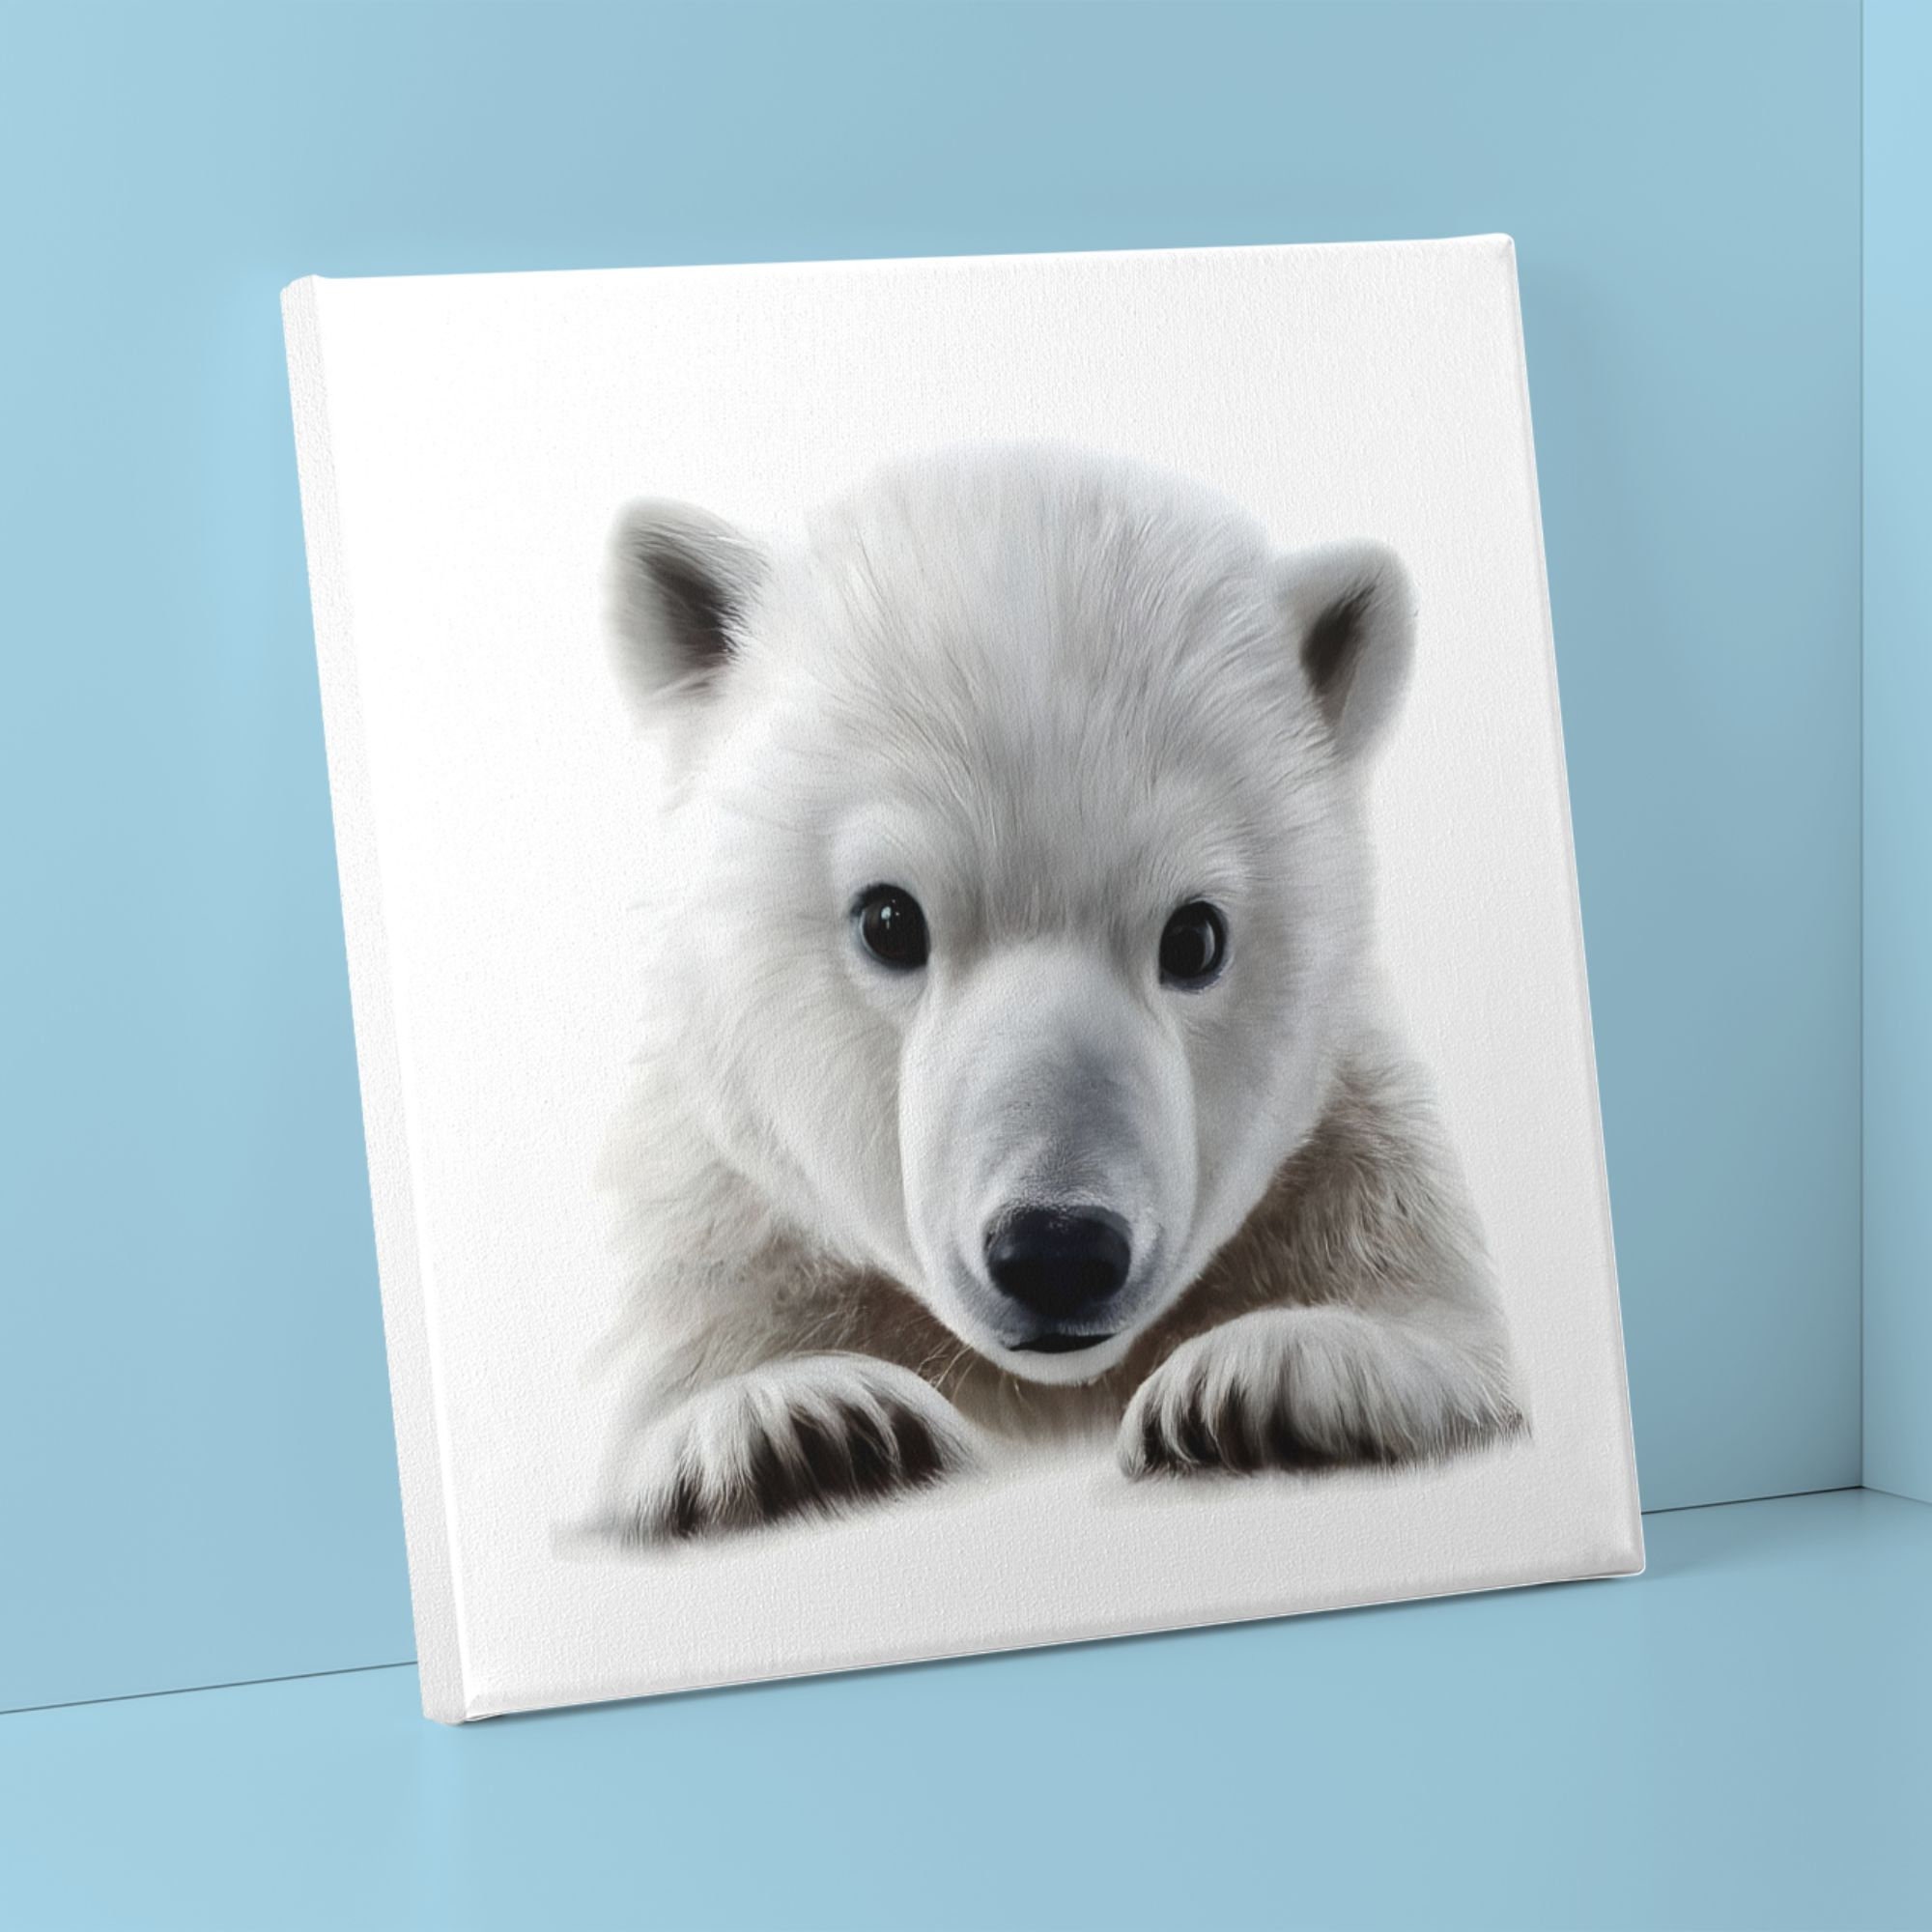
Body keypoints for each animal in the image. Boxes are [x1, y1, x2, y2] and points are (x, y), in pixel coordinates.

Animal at [594, 443, 1522, 1542]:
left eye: (1194, 936)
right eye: (888, 919)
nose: (1057, 1247)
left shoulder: (1350, 1150)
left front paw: (1278, 1373)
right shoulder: (722, 1203)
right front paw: (797, 1422)